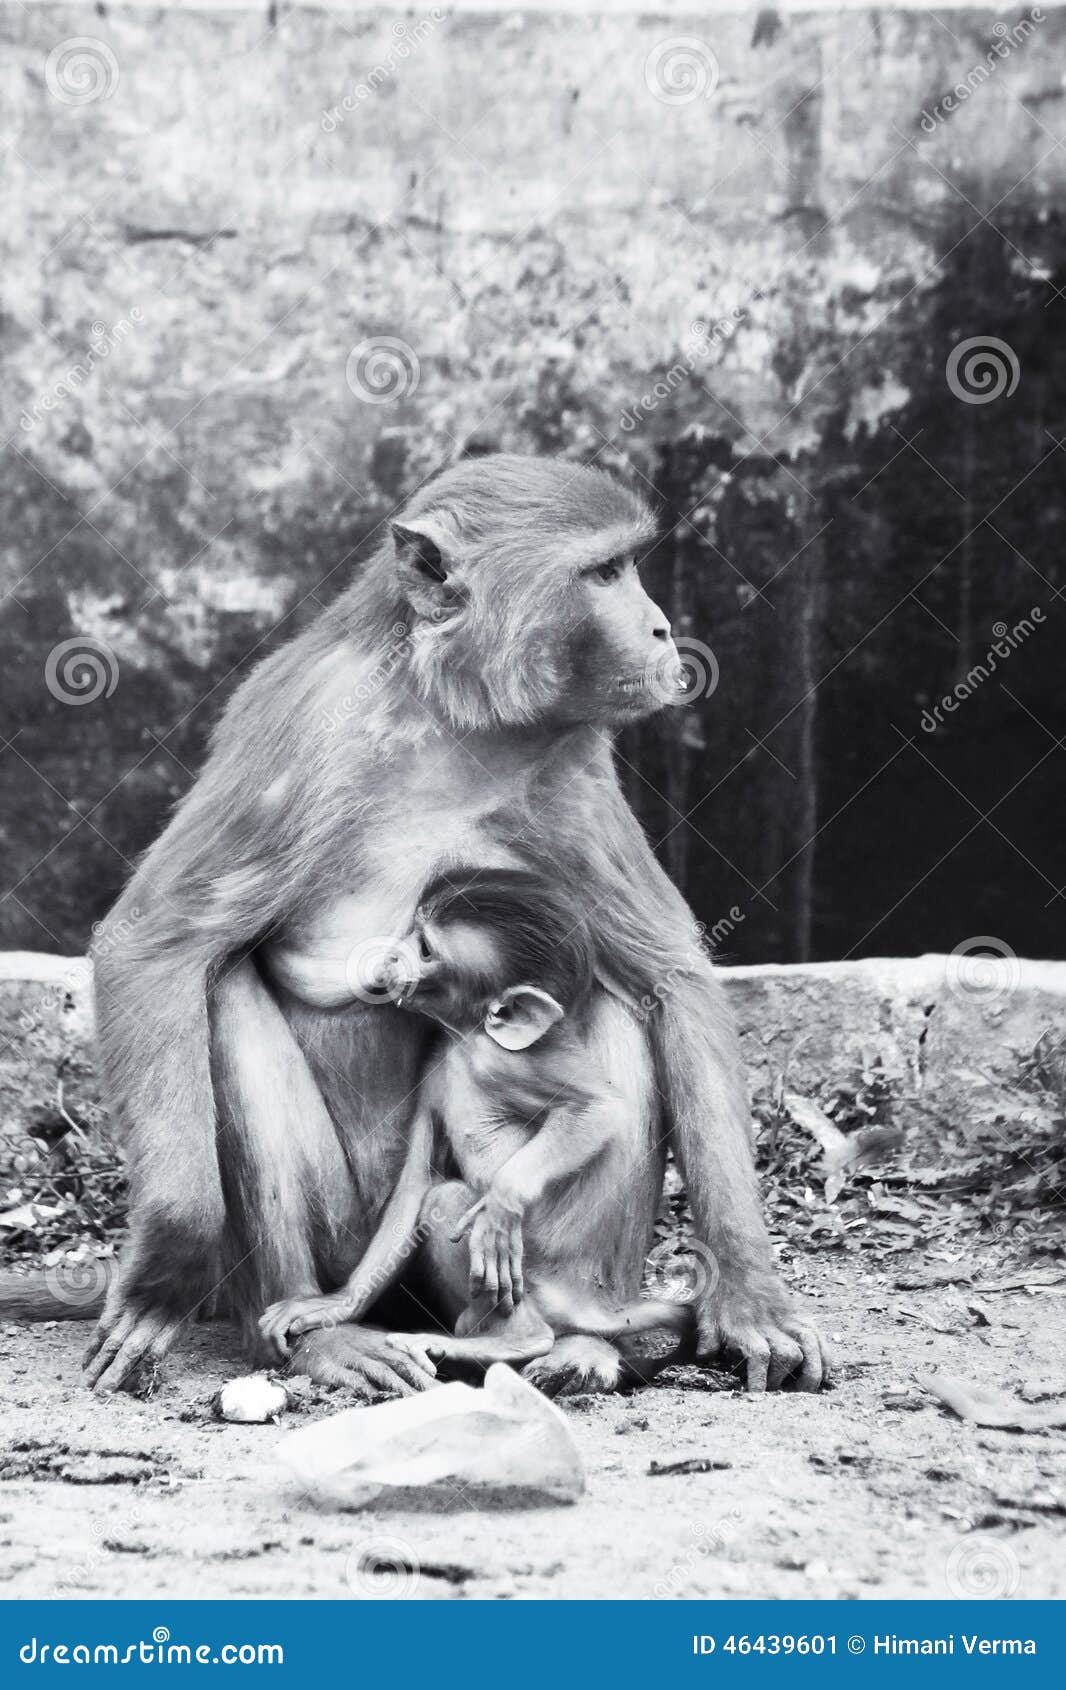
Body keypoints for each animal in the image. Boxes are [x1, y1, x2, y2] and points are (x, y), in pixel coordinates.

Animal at [256, 866, 696, 1382]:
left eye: (426, 950)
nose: (391, 956)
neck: (467, 1039)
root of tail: (582, 1300)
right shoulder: (435, 1064)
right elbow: (416, 1178)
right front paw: (337, 1304)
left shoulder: (508, 1061)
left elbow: (602, 1108)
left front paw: (503, 1202)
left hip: (538, 1273)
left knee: (450, 1202)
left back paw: (516, 1337)